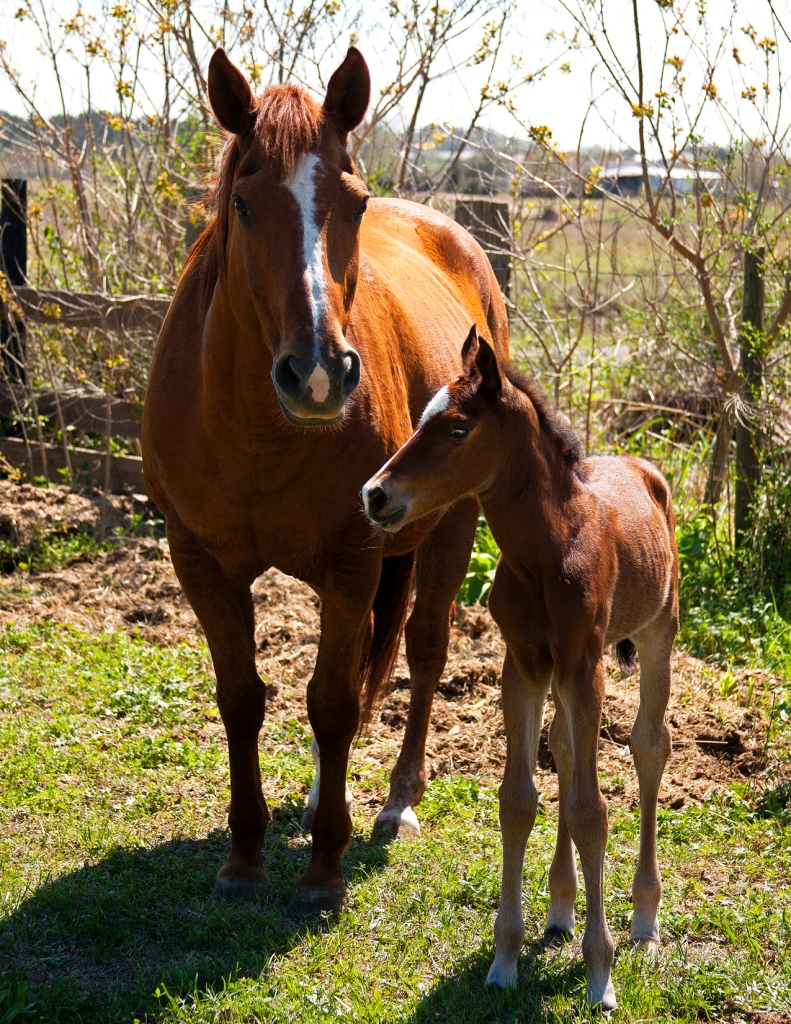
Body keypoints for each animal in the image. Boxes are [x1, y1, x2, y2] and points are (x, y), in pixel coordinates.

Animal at [142, 49, 509, 917]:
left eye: (355, 201)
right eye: (242, 203)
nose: (316, 374)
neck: (254, 428)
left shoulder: (352, 558)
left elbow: (334, 699)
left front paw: (322, 872)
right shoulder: (199, 561)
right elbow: (244, 698)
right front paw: (244, 858)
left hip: (449, 528)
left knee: (424, 650)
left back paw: (397, 800)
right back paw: (315, 799)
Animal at [362, 327, 678, 1009]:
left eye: (457, 429)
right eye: (421, 419)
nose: (375, 494)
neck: (548, 550)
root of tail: (641, 467)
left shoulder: (585, 663)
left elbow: (591, 810)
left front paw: (600, 973)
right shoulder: (524, 663)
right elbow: (519, 798)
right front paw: (504, 961)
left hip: (657, 633)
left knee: (649, 745)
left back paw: (643, 919)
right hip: (558, 671)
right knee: (564, 745)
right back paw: (559, 910)